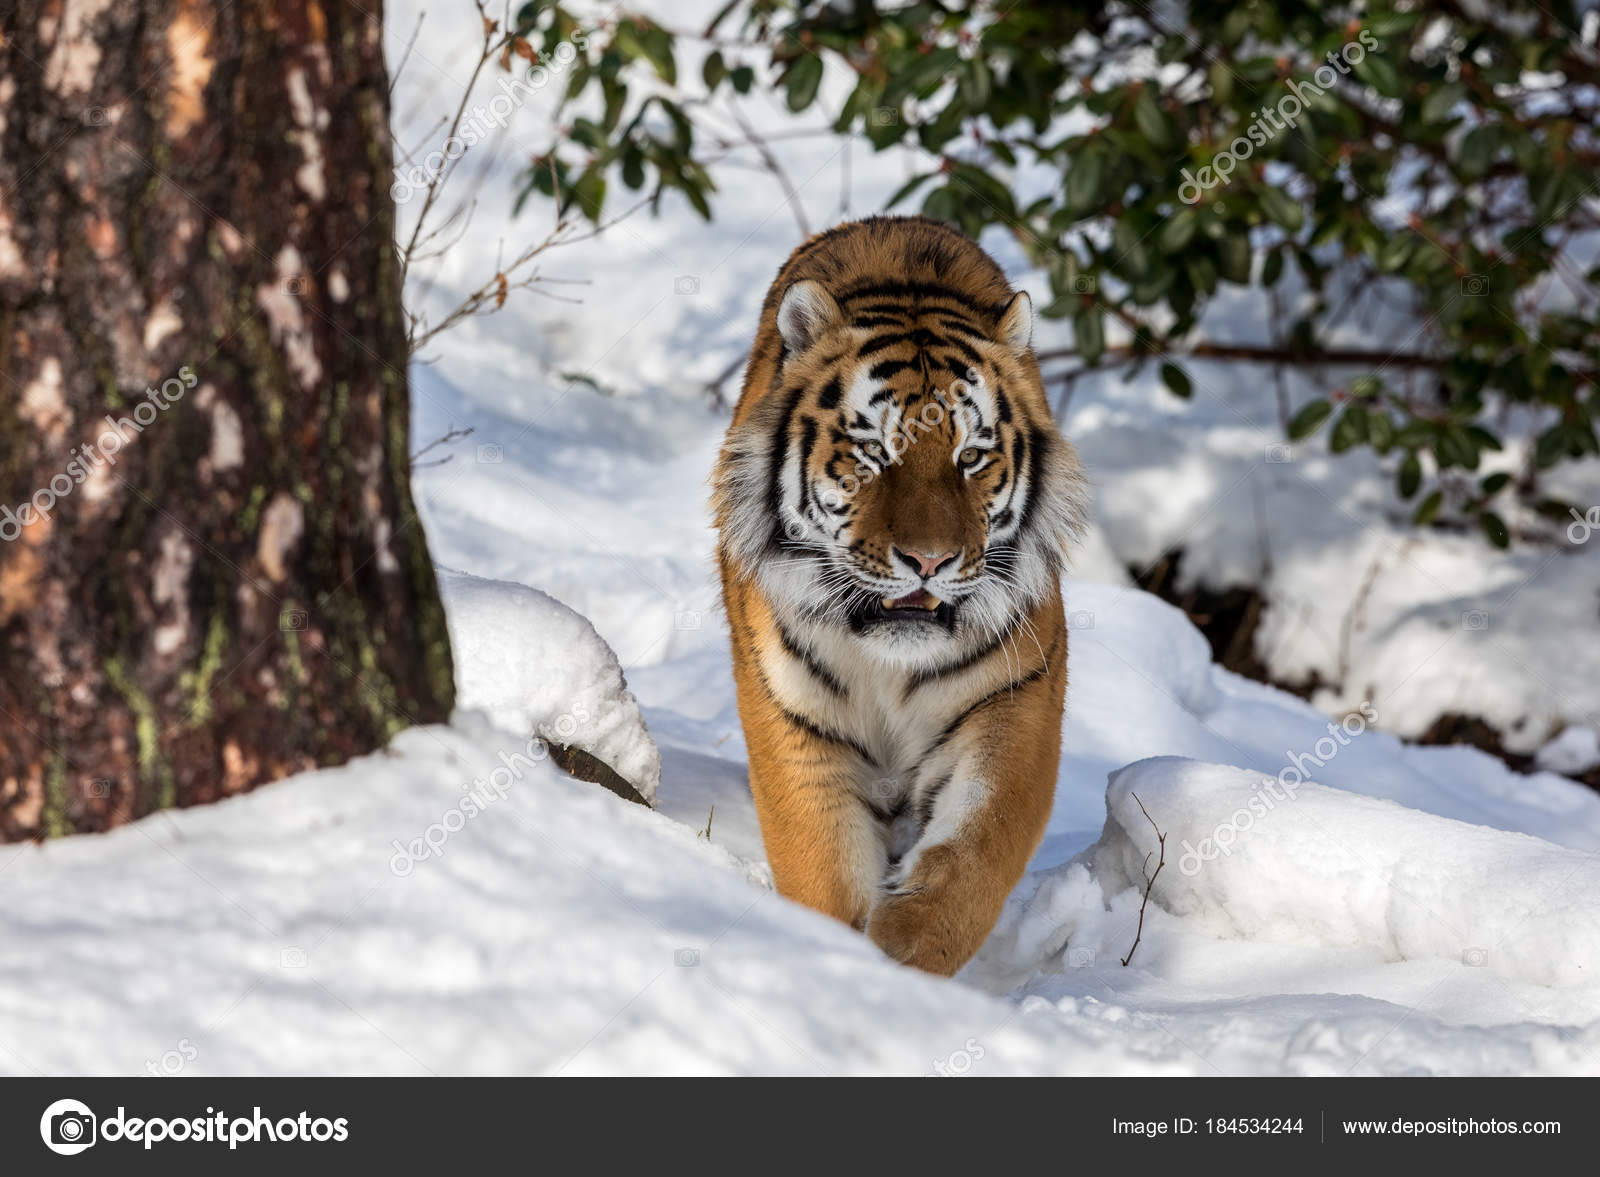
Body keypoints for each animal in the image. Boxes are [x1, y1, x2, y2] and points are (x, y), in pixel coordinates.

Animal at [712, 215, 1088, 976]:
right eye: (874, 455)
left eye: (970, 457)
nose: (930, 560)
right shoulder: (792, 715)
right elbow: (821, 866)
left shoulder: (1015, 698)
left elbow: (975, 855)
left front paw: (903, 960)